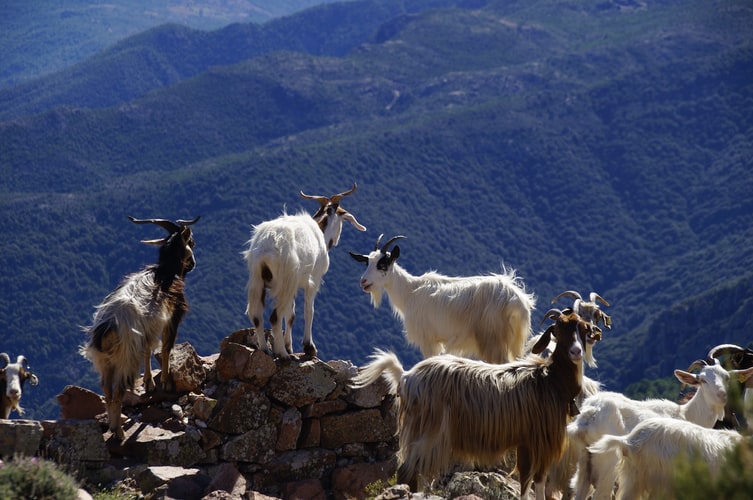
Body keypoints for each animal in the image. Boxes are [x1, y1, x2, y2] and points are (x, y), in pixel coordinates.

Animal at [81, 215, 199, 440]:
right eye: (191, 242)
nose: (193, 265)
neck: (166, 273)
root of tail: (108, 326)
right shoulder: (171, 318)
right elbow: (166, 348)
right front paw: (165, 381)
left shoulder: (148, 330)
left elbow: (148, 350)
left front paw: (149, 383)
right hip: (126, 356)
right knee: (118, 391)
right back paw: (119, 433)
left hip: (105, 360)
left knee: (107, 391)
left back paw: (113, 424)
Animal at [244, 183, 366, 360]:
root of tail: (269, 245)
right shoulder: (312, 281)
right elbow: (309, 311)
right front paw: (309, 347)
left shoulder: (292, 286)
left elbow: (291, 315)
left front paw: (289, 346)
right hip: (286, 280)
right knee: (274, 317)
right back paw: (282, 354)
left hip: (258, 279)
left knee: (257, 315)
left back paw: (266, 350)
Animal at [349, 234, 535, 364]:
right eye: (367, 263)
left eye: (383, 264)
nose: (363, 281)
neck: (410, 292)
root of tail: (517, 300)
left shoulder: (428, 339)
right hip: (511, 340)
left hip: (492, 338)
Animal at [351, 309, 596, 499]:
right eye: (558, 330)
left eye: (584, 329)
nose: (576, 352)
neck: (550, 380)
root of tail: (405, 376)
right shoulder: (535, 439)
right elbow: (532, 481)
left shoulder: (527, 440)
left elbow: (533, 480)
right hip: (429, 431)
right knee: (407, 470)